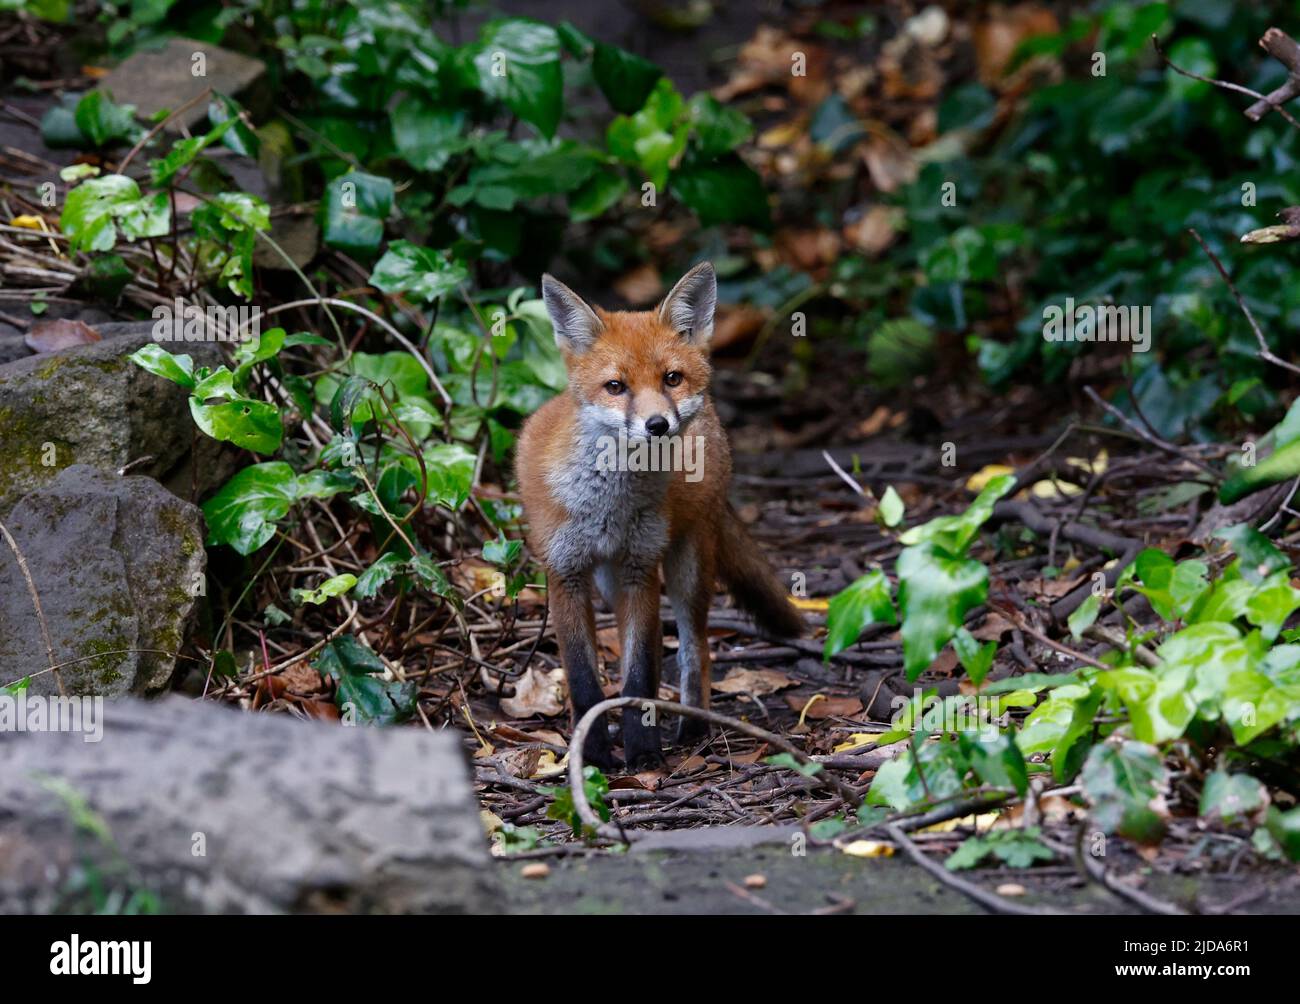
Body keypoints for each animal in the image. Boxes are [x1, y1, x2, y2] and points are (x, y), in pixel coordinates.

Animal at [515, 262, 804, 770]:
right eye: (615, 386)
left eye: (671, 378)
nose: (657, 425)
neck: (607, 506)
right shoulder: (566, 572)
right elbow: (584, 679)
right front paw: (593, 754)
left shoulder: (640, 566)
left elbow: (638, 675)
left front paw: (644, 751)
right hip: (611, 581)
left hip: (687, 567)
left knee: (695, 650)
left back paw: (693, 728)